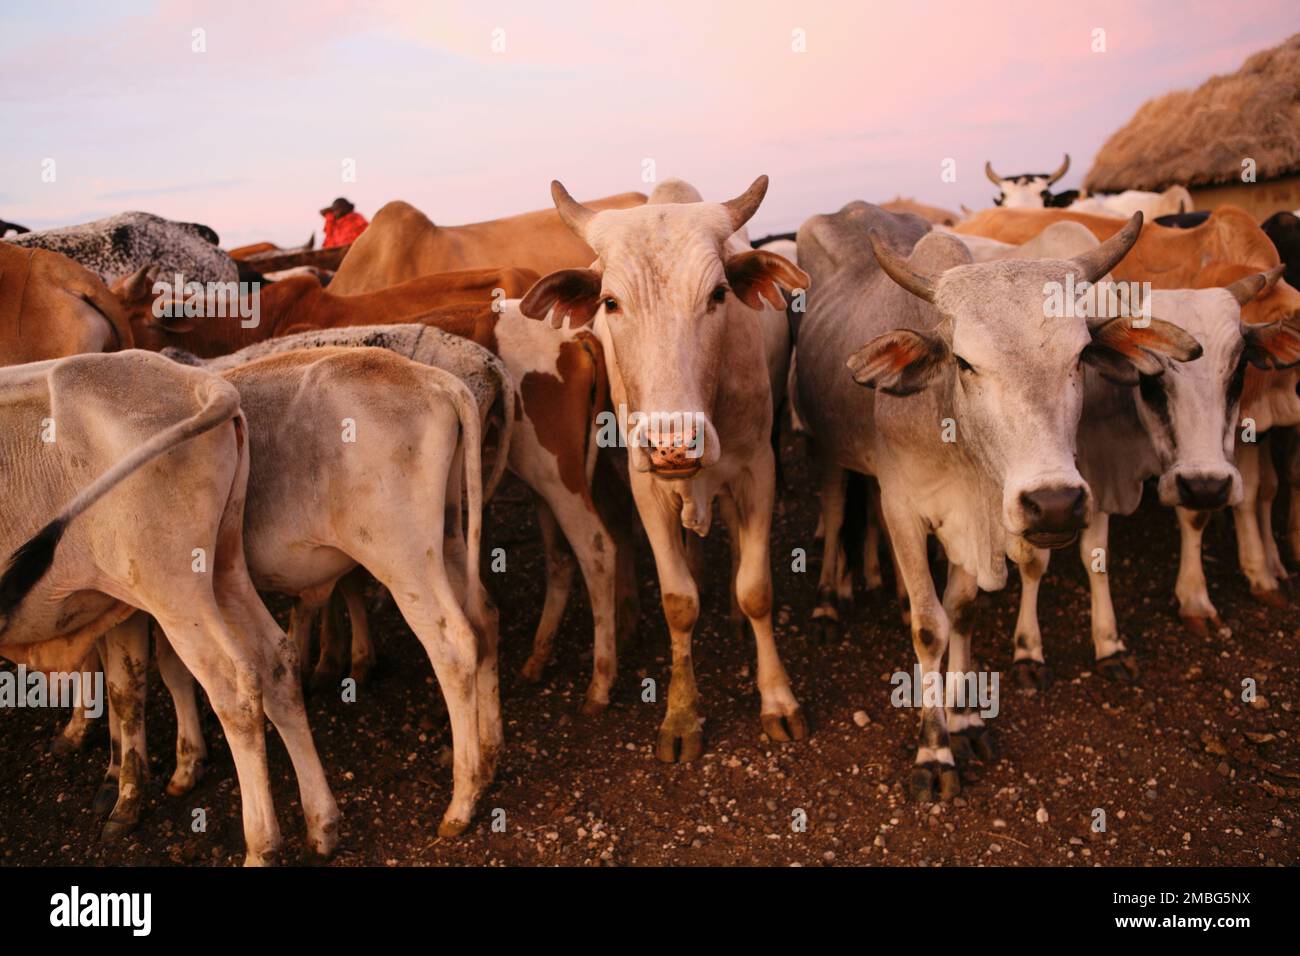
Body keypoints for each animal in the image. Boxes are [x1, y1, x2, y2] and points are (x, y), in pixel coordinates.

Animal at [0, 350, 338, 864]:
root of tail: (203, 385)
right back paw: (323, 824)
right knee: (277, 662)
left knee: (235, 690)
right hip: (221, 570)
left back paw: (261, 846)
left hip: (174, 590)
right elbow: (124, 688)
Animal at [518, 175, 809, 761]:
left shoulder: (757, 472)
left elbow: (756, 590)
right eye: (610, 302)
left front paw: (777, 699)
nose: (673, 445)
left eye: (718, 295)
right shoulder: (645, 486)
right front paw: (680, 716)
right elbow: (678, 601)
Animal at [794, 205, 1201, 798]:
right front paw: (934, 750)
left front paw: (964, 721)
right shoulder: (903, 509)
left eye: (1081, 356)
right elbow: (930, 627)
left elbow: (961, 611)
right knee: (835, 508)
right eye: (964, 363)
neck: (956, 440)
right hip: (825, 448)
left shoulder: (975, 515)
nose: (1053, 503)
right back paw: (828, 601)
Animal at [951, 226, 1297, 685]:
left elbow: (1102, 553)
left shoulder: (1097, 482)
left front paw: (1122, 636)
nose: (1206, 485)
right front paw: (1028, 649)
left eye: (1239, 370)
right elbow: (1033, 561)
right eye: (1151, 378)